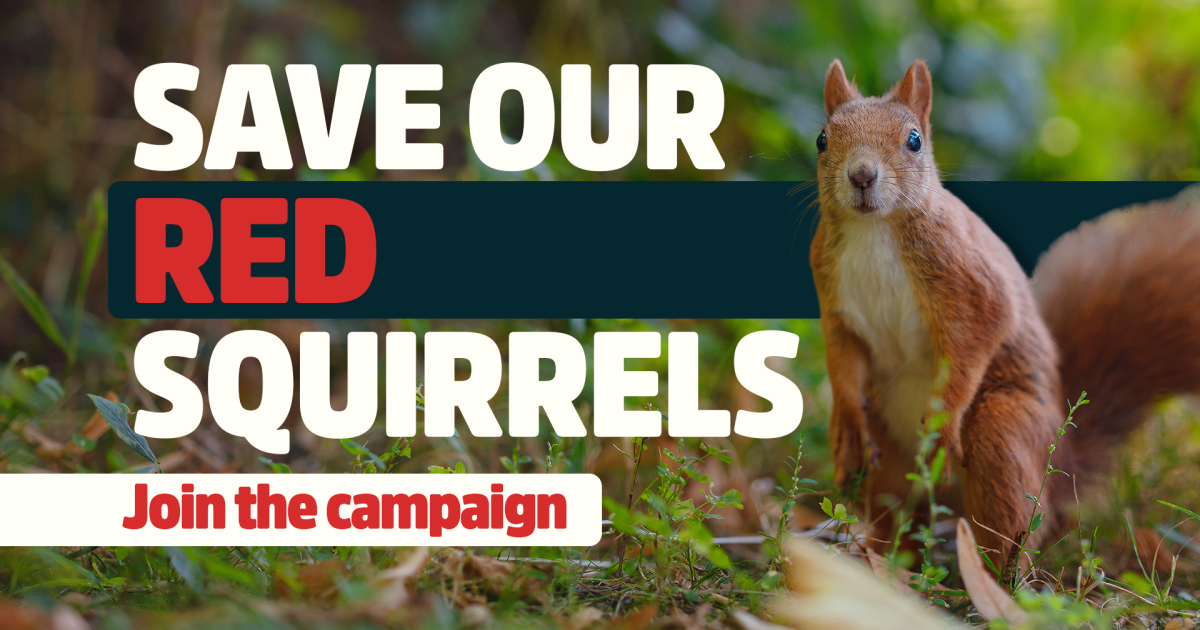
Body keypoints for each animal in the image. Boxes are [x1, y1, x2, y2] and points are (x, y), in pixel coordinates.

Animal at [811, 57, 1200, 564]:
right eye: (822, 138)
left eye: (914, 139)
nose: (861, 175)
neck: (872, 230)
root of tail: (1062, 467)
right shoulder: (836, 305)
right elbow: (842, 362)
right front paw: (847, 423)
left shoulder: (972, 286)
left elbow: (976, 340)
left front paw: (943, 424)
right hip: (888, 461)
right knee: (898, 516)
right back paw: (886, 561)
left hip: (1005, 432)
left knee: (1011, 530)